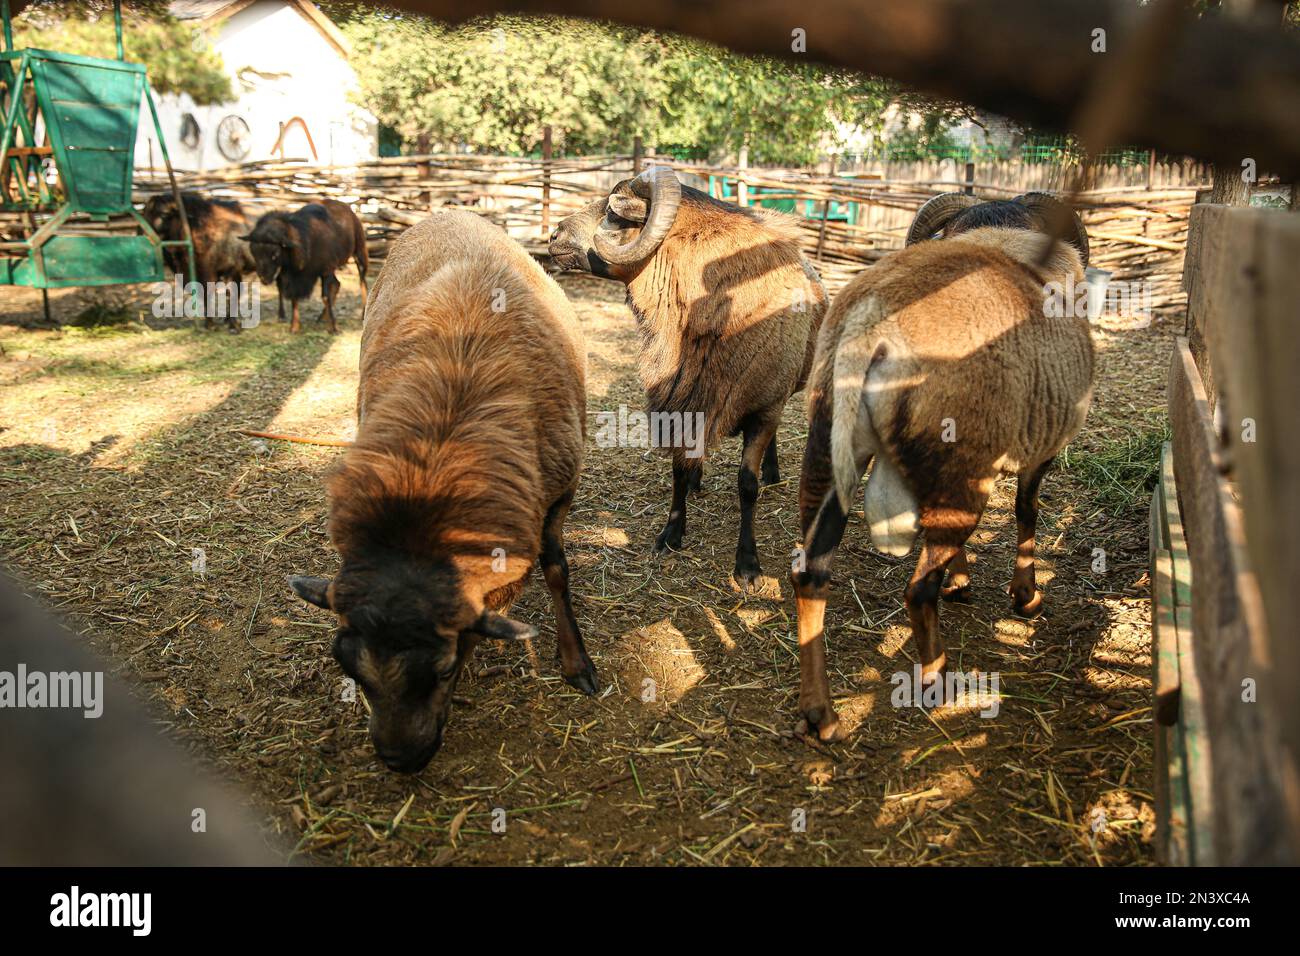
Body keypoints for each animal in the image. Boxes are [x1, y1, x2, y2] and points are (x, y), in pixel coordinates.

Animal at [143, 190, 258, 331]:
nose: (143, 235)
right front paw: (219, 322)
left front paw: (225, 324)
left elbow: (223, 294)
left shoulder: (223, 271)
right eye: (144, 213)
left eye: (164, 214)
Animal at [241, 198, 369, 333]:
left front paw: (333, 327)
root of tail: (347, 207)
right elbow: (294, 297)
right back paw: (321, 317)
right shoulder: (294, 275)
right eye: (253, 251)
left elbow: (325, 297)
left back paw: (362, 313)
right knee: (337, 284)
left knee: (362, 283)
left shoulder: (326, 269)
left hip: (359, 252)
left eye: (275, 253)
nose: (264, 279)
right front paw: (294, 326)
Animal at [286, 209, 596, 773]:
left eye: (447, 669)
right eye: (350, 669)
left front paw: (576, 662)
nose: (400, 760)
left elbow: (557, 570)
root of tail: (447, 210)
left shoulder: (559, 493)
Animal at [549, 165, 827, 588]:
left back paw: (772, 472)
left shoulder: (764, 408)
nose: (553, 236)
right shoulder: (682, 400)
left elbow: (746, 486)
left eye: (613, 213)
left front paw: (748, 565)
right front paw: (671, 534)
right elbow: (678, 470)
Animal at [790, 191, 1094, 740]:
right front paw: (1025, 596)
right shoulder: (1038, 448)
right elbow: (1027, 510)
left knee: (810, 575)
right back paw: (937, 679)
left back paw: (821, 714)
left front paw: (962, 582)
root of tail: (873, 328)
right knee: (917, 591)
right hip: (960, 468)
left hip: (831, 454)